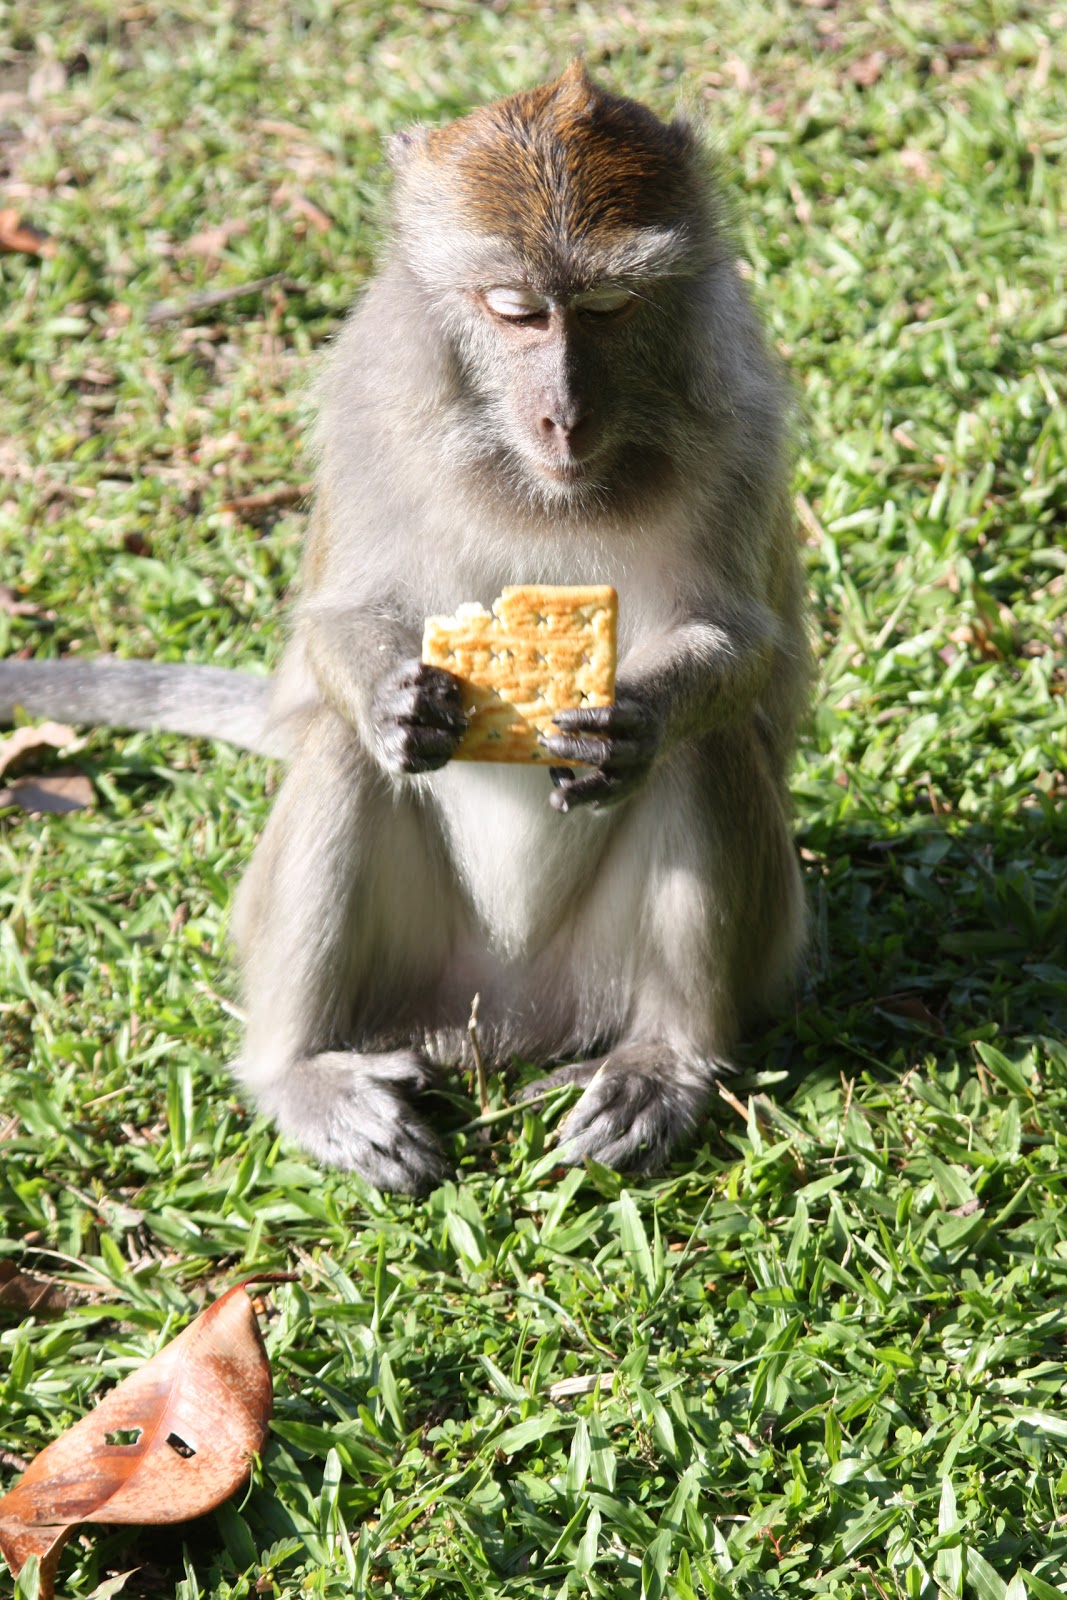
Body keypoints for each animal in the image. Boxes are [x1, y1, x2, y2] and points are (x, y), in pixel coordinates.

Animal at [0, 63, 809, 1193]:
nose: (564, 413)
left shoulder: (738, 414)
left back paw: (665, 1059)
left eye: (608, 306)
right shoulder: (368, 401)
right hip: (419, 971)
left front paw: (630, 721)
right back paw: (298, 1072)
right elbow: (339, 624)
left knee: (708, 752)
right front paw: (402, 707)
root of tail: (507, 1020)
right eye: (513, 310)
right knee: (339, 754)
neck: (536, 482)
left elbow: (746, 646)